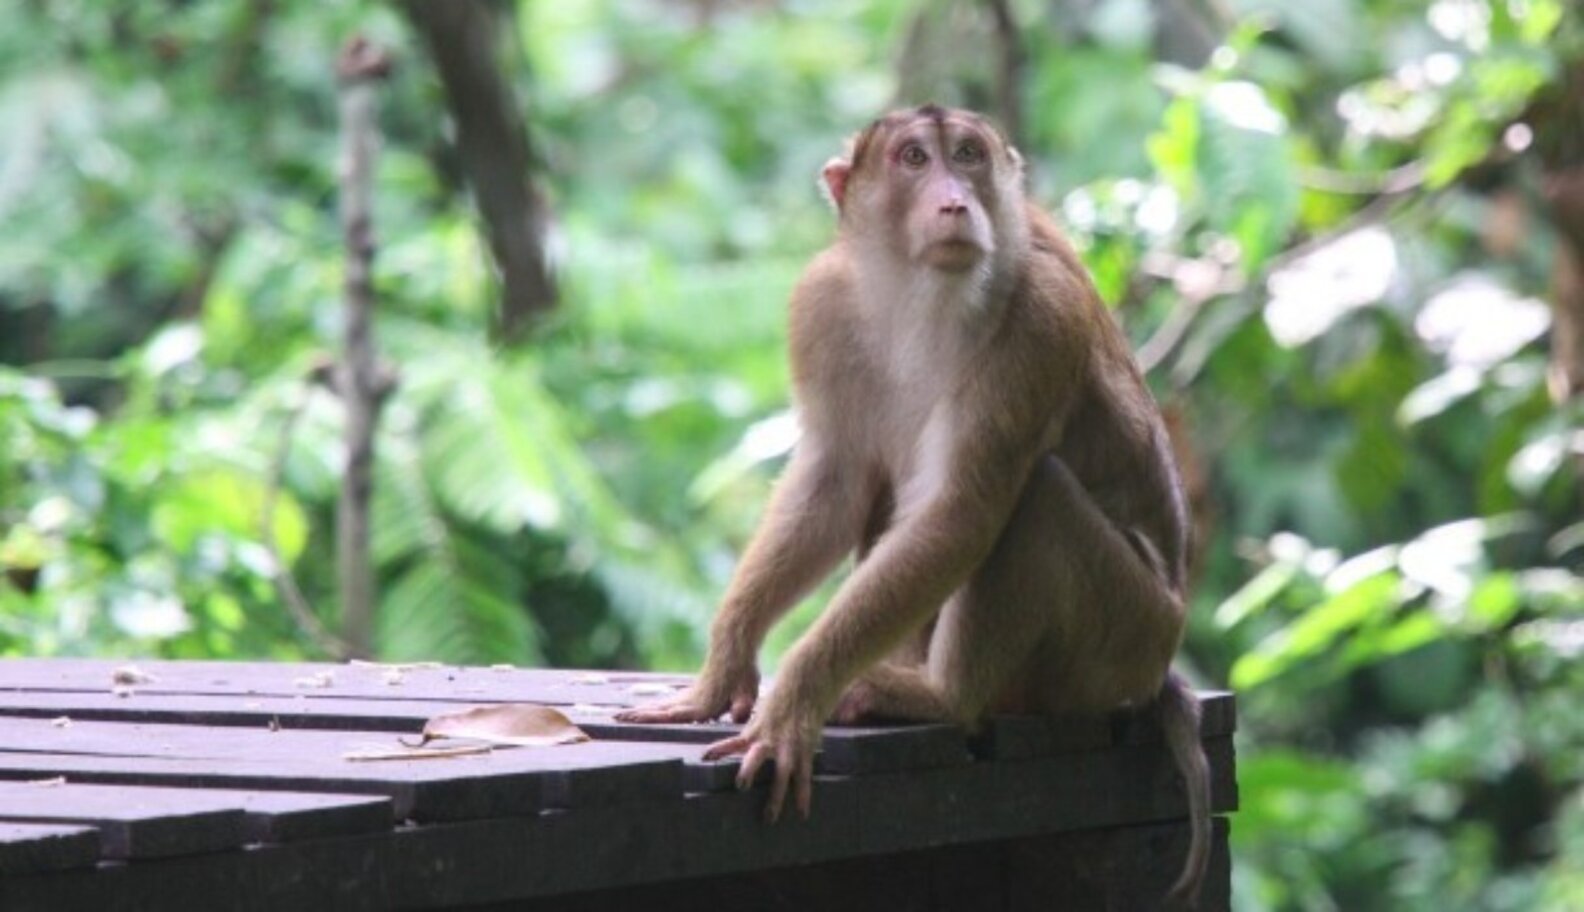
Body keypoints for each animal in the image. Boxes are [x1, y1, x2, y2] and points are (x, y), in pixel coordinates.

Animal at [616, 105, 1209, 906]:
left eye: (967, 155)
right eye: (914, 159)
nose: (955, 200)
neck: (921, 293)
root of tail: (1164, 647)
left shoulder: (1040, 323)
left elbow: (960, 512)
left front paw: (795, 701)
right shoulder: (822, 305)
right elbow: (833, 484)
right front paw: (724, 668)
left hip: (1127, 636)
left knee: (1038, 496)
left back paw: (942, 697)